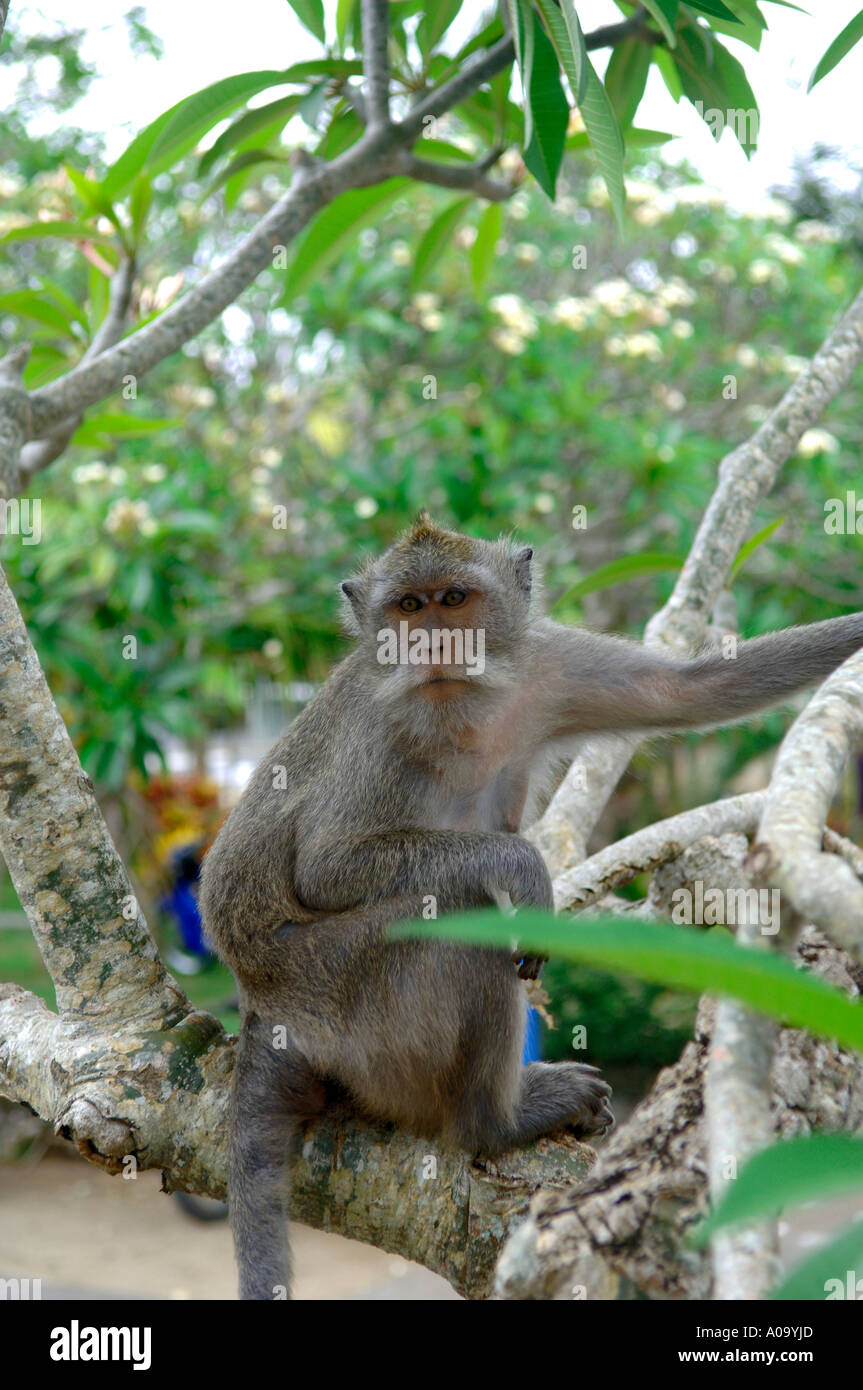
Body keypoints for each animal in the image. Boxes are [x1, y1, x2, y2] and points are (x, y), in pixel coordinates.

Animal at [199, 512, 863, 1299]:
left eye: (453, 599)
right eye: (408, 608)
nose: (434, 643)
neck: (461, 706)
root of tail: (261, 1005)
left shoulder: (547, 662)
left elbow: (688, 689)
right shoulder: (378, 729)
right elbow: (326, 867)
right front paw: (520, 867)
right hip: (339, 995)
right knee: (451, 910)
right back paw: (496, 1121)